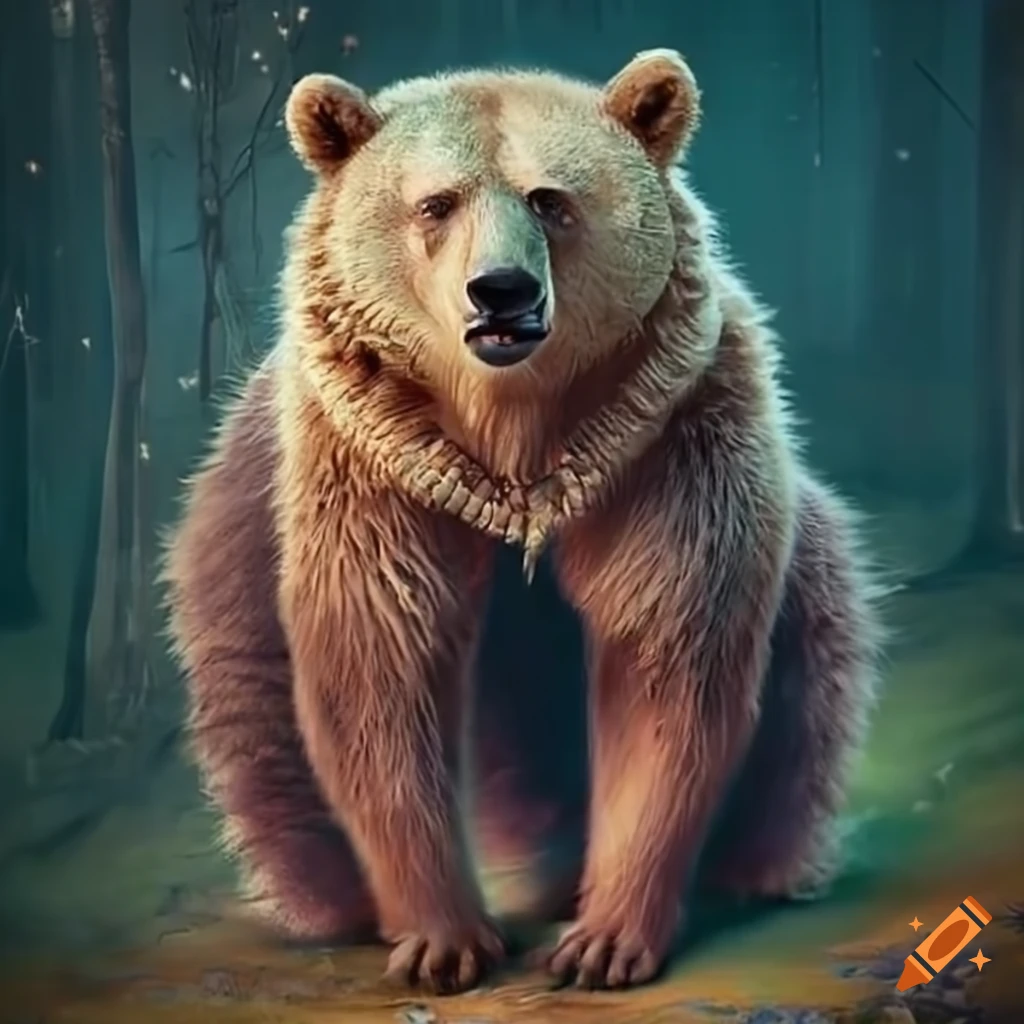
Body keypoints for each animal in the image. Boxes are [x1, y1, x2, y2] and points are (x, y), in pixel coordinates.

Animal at [163, 49, 882, 994]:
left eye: (549, 198)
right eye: (435, 203)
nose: (500, 293)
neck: (512, 437)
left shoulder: (670, 437)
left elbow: (666, 657)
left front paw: (605, 939)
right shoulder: (372, 466)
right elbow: (383, 664)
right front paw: (445, 938)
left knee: (811, 665)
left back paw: (753, 867)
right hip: (236, 538)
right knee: (259, 719)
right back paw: (335, 901)